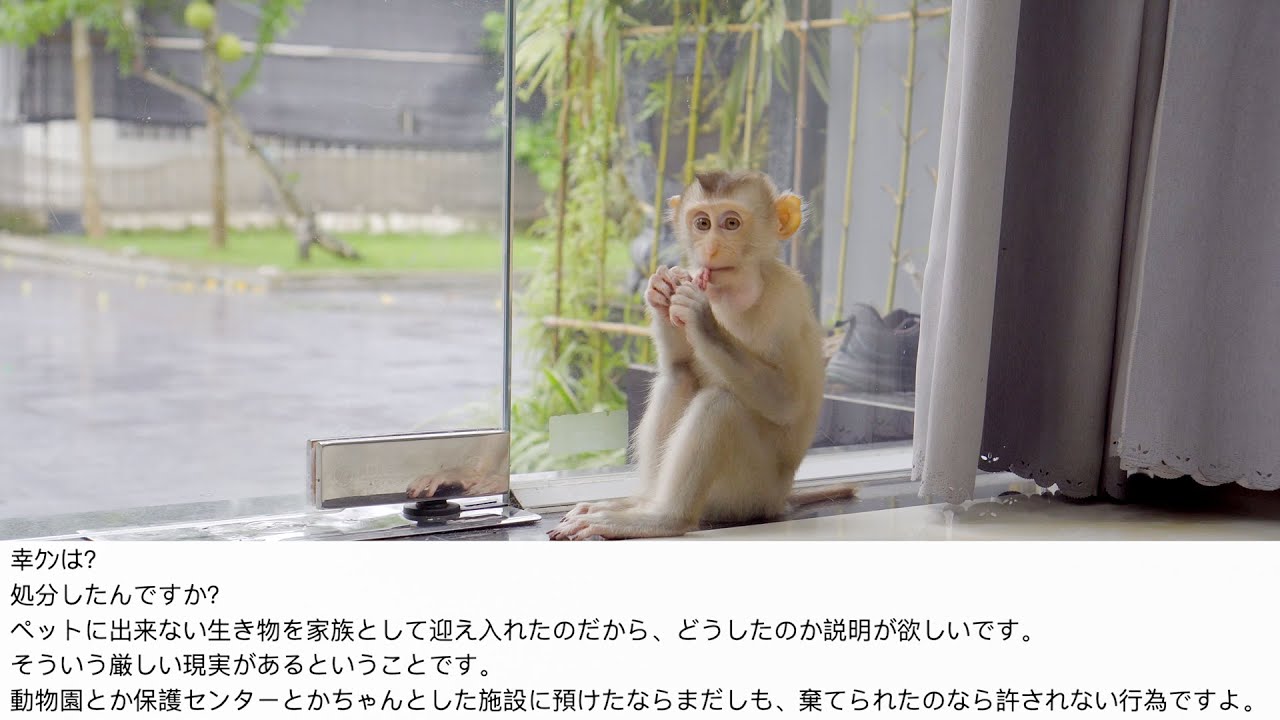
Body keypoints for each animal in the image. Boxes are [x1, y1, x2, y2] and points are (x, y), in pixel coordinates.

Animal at [548, 170, 854, 540]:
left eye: (732, 223)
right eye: (703, 223)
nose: (711, 248)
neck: (733, 290)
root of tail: (779, 500)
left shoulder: (787, 298)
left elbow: (788, 400)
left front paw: (701, 318)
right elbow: (677, 364)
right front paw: (662, 291)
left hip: (747, 493)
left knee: (721, 406)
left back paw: (664, 518)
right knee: (678, 378)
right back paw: (640, 503)